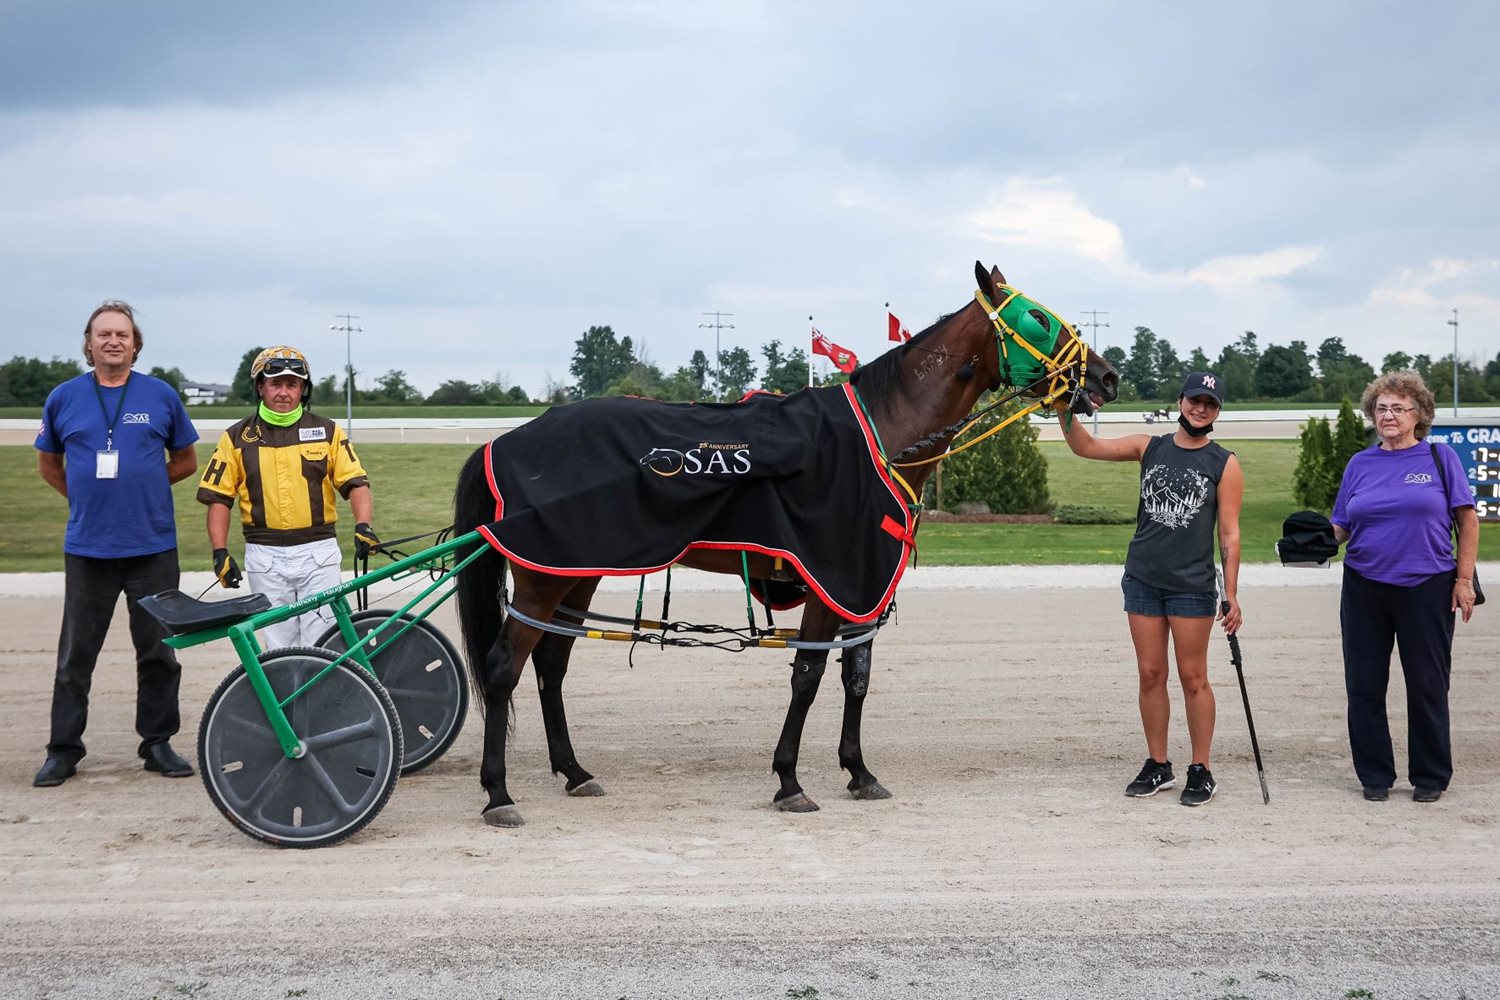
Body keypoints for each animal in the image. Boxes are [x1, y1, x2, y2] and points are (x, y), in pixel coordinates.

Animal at [452, 261, 1120, 827]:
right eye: (1038, 318)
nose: (1108, 377)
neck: (880, 434)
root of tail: (503, 441)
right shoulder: (832, 575)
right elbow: (809, 673)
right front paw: (790, 780)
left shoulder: (864, 582)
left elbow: (857, 676)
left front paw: (858, 771)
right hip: (541, 578)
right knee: (504, 666)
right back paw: (498, 792)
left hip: (573, 568)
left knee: (551, 665)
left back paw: (573, 770)